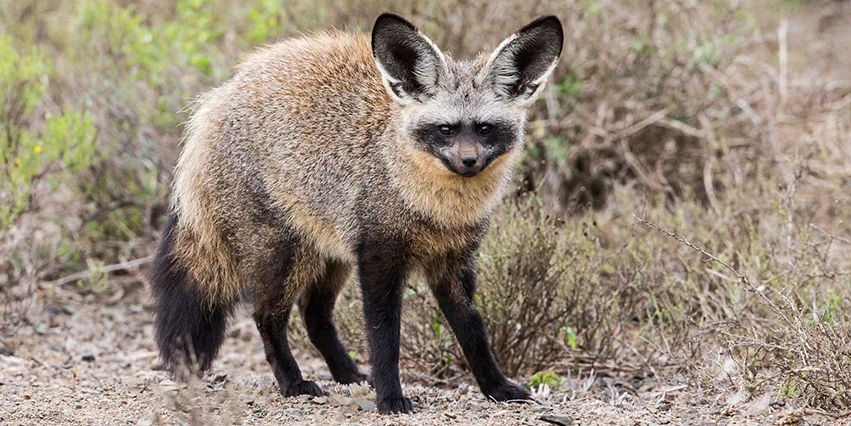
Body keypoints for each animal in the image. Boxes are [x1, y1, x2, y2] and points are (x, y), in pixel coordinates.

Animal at [150, 13, 563, 414]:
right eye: (445, 129)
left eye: (485, 129)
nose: (468, 162)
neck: (435, 209)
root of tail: (220, 95)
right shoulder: (380, 257)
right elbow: (384, 337)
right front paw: (390, 398)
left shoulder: (453, 263)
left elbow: (473, 332)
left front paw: (497, 387)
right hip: (285, 257)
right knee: (267, 318)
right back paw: (294, 383)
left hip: (331, 256)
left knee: (314, 317)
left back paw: (347, 374)